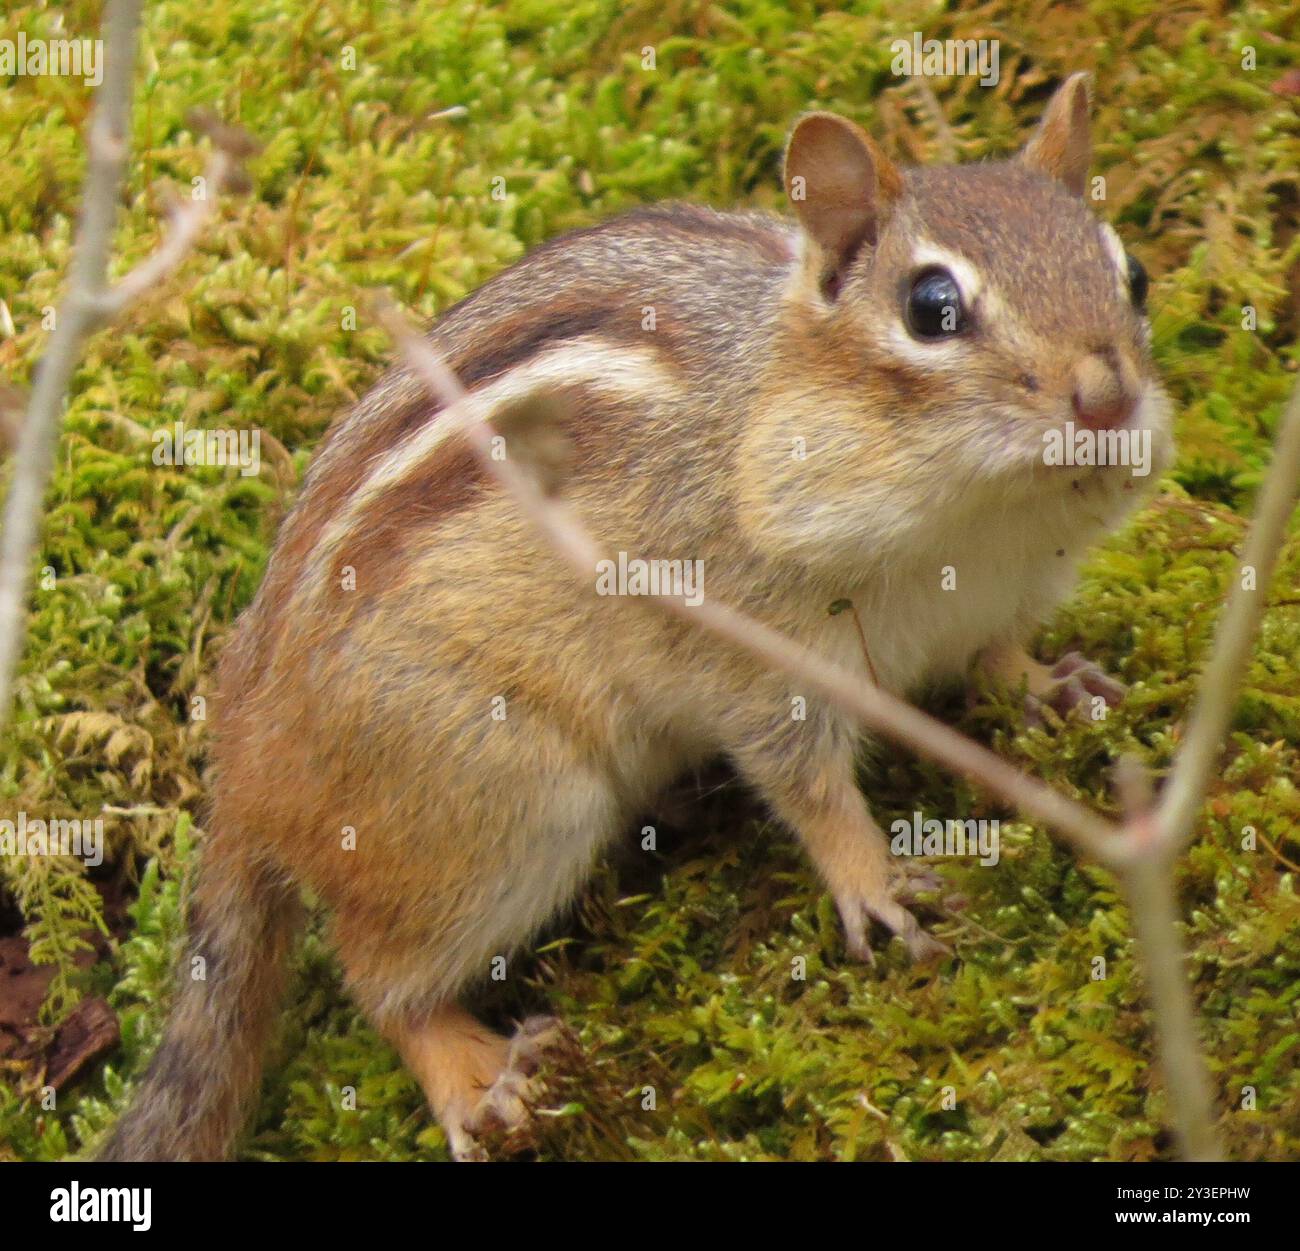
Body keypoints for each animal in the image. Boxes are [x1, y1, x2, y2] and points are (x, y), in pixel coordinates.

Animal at [97, 72, 1173, 1161]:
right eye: (932, 307)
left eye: (1132, 275)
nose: (1107, 396)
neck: (979, 523)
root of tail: (241, 755)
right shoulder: (744, 641)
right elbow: (808, 785)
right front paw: (872, 881)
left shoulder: (1003, 592)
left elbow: (997, 655)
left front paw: (1056, 686)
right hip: (499, 795)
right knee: (380, 981)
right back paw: (471, 1078)